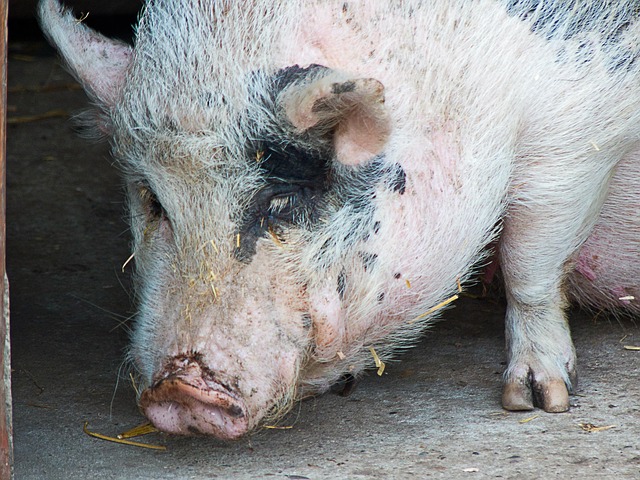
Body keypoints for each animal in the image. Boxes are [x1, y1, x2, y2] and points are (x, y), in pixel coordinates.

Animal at [39, 0, 640, 439]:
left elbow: (531, 263)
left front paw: (538, 401)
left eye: (282, 198)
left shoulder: (580, 132)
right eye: (157, 203)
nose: (179, 391)